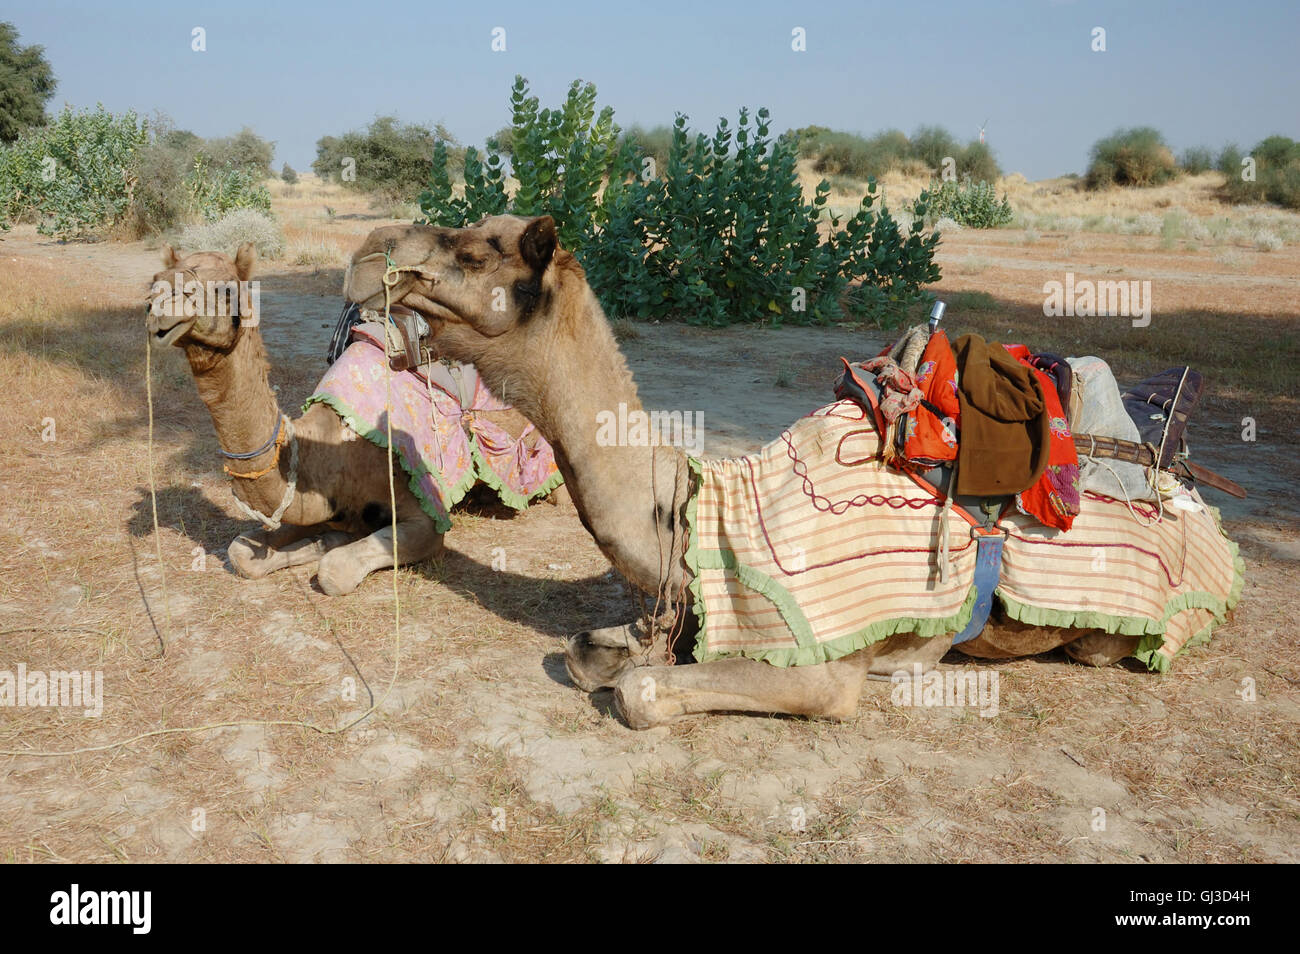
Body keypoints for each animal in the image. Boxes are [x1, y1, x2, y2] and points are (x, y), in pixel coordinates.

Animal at [147, 242, 554, 595]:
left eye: (225, 289)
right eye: (156, 281)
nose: (158, 309)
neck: (335, 447)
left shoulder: (426, 519)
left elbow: (334, 570)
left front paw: (329, 544)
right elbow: (241, 551)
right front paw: (322, 539)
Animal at [343, 215, 1188, 728]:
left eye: (476, 250)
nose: (365, 255)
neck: (700, 508)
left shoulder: (825, 664)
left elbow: (640, 690)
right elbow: (586, 654)